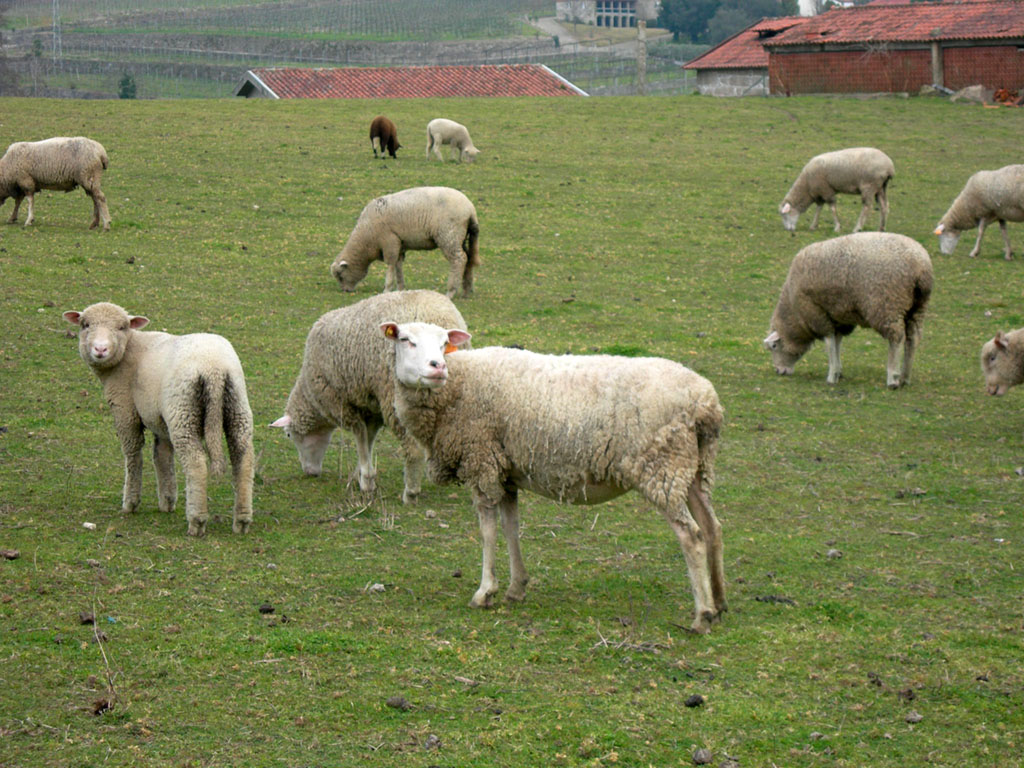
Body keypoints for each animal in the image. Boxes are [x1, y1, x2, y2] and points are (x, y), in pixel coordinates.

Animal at [63, 302, 254, 536]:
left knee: (196, 463)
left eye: (121, 327)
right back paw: (242, 521)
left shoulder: (125, 410)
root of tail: (213, 370)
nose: (100, 350)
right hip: (237, 407)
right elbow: (162, 456)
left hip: (183, 412)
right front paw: (167, 501)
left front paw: (130, 503)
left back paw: (196, 521)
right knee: (244, 459)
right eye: (85, 325)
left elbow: (133, 455)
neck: (129, 349)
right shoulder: (159, 420)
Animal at [270, 290, 469, 505]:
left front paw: (366, 481)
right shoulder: (372, 407)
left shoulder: (343, 403)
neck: (310, 394)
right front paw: (362, 473)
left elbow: (360, 436)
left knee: (413, 449)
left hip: (397, 397)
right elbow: (369, 438)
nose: (310, 472)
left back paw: (411, 492)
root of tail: (441, 315)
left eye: (289, 435)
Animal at [330, 186, 480, 299]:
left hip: (449, 235)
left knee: (459, 259)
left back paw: (451, 291)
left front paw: (387, 288)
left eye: (340, 275)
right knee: (468, 258)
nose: (345, 291)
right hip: (461, 237)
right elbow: (398, 265)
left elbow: (390, 264)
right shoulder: (399, 244)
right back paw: (466, 290)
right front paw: (400, 288)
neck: (366, 236)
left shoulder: (389, 240)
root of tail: (470, 209)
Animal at [381, 321, 726, 634]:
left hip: (662, 467)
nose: (437, 368)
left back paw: (702, 615)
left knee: (692, 535)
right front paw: (516, 587)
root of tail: (706, 401)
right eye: (406, 339)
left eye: (444, 344)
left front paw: (485, 591)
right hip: (693, 468)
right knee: (712, 527)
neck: (457, 388)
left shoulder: (482, 462)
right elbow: (511, 528)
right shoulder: (505, 471)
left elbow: (488, 531)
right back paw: (720, 602)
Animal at [763, 232, 933, 388]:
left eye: (774, 346)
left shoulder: (816, 313)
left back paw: (892, 378)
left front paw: (831, 376)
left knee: (896, 338)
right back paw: (905, 377)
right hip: (918, 307)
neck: (794, 311)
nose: (779, 371)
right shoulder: (839, 316)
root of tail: (921, 265)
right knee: (913, 338)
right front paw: (838, 371)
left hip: (887, 305)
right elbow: (837, 341)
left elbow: (830, 342)